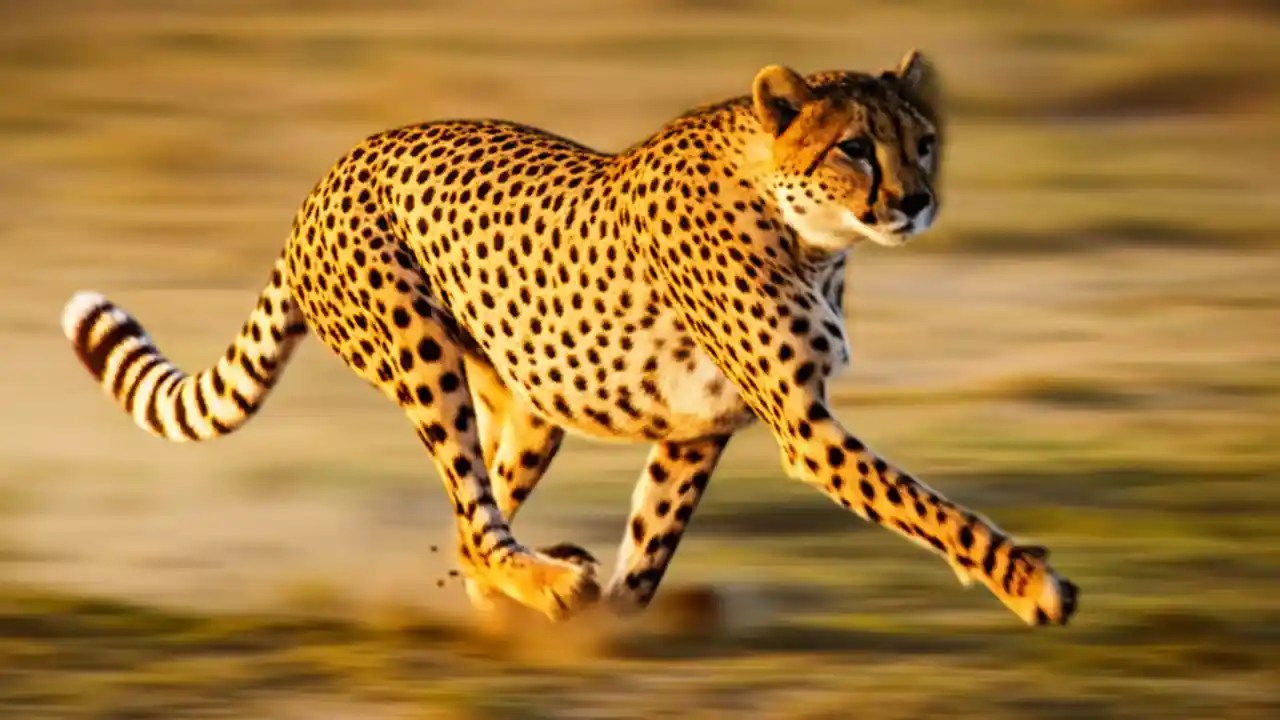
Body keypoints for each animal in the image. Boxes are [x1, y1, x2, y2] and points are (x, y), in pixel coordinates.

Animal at [61, 51, 1079, 627]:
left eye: (924, 142)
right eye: (856, 148)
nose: (916, 201)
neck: (808, 232)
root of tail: (336, 167)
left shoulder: (697, 431)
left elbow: (654, 539)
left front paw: (622, 625)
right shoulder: (801, 427)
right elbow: (928, 506)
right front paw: (1032, 585)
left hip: (528, 401)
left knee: (470, 526)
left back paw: (537, 588)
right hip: (421, 353)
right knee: (474, 516)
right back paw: (548, 585)